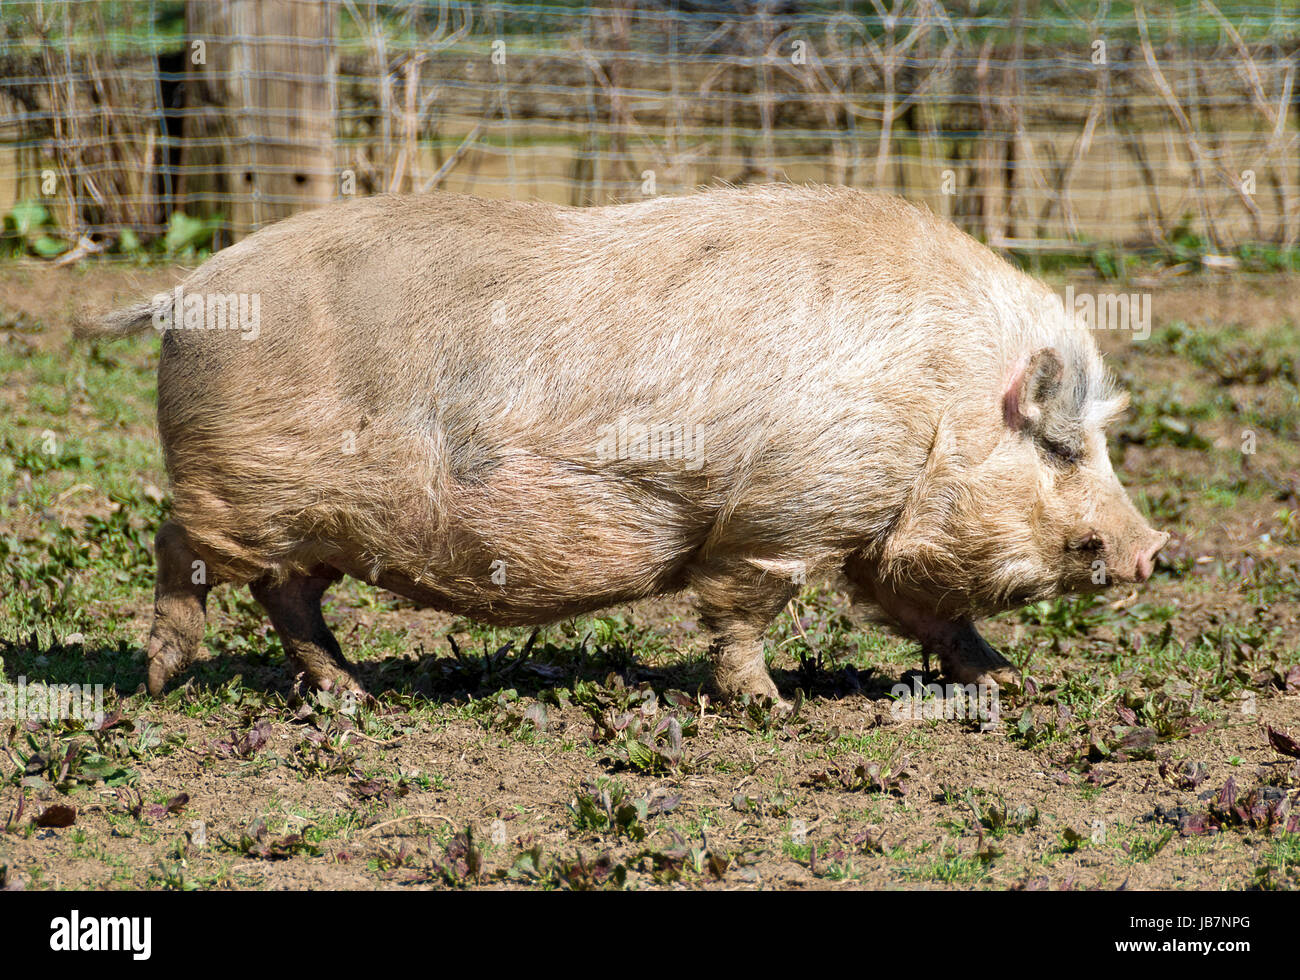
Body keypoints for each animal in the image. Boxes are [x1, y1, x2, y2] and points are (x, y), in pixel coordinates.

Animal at [78, 184, 1167, 702]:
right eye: (1064, 448)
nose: (1156, 549)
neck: (940, 395)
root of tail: (186, 291)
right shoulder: (789, 511)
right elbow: (745, 608)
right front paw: (766, 704)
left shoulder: (869, 522)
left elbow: (929, 612)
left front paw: (1008, 681)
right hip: (238, 484)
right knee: (180, 546)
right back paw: (163, 680)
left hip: (302, 515)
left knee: (286, 593)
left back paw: (353, 692)